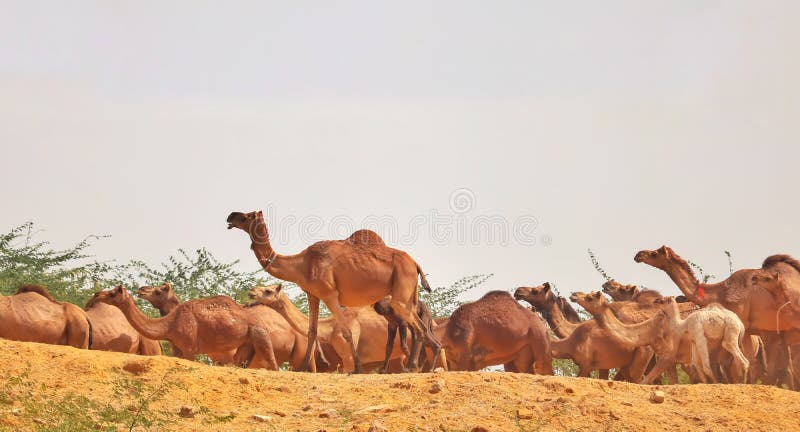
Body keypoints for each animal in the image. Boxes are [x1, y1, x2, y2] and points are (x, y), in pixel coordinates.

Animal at [91, 285, 279, 369]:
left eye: (113, 293)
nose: (97, 294)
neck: (170, 323)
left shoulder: (189, 347)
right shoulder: (177, 348)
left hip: (259, 332)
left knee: (272, 361)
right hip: (245, 342)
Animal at [573, 291, 749, 384]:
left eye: (590, 297)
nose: (574, 295)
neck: (650, 331)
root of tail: (741, 323)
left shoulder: (667, 356)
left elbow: (645, 381)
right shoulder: (668, 359)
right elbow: (673, 382)